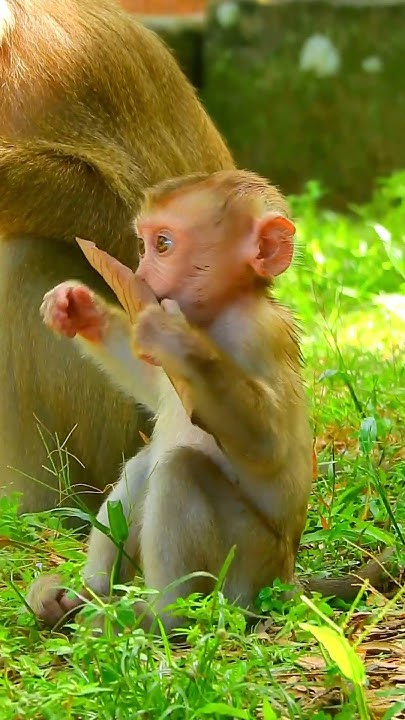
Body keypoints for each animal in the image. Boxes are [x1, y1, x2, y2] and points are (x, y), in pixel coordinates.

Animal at [27, 169, 396, 637]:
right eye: (144, 245)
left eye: (163, 244)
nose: (140, 272)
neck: (216, 316)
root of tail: (285, 577)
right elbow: (152, 385)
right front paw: (77, 308)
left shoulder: (258, 336)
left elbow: (267, 445)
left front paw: (173, 339)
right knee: (145, 464)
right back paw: (80, 598)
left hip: (247, 565)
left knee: (179, 471)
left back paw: (163, 615)